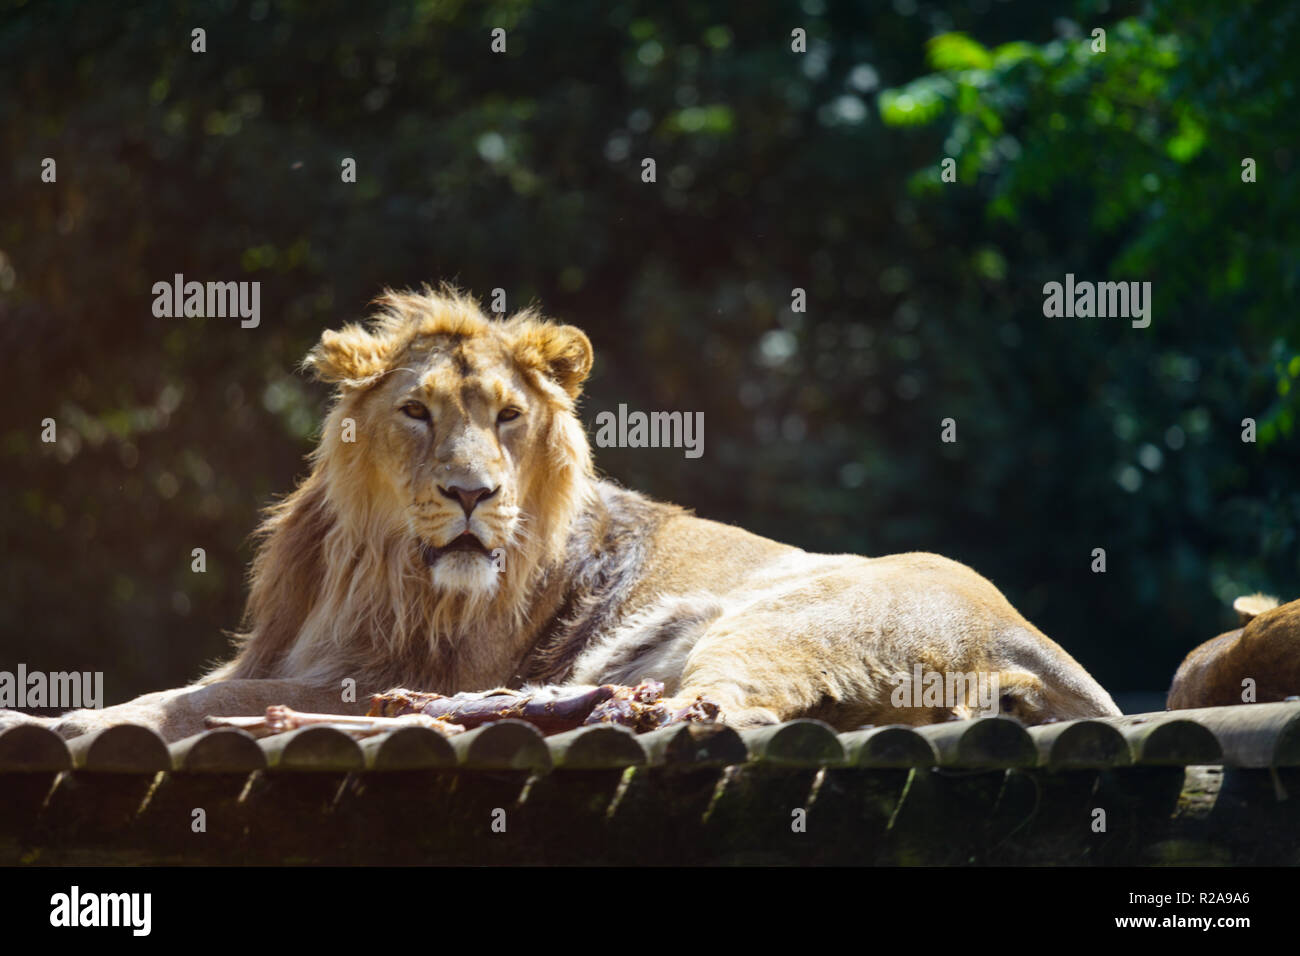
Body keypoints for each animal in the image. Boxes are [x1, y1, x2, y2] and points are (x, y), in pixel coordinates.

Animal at [2, 287, 1120, 742]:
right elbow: (192, 689)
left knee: (709, 712)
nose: (472, 494)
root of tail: (1028, 639)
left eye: (505, 416)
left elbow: (188, 702)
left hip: (785, 621)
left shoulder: (403, 662)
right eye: (417, 412)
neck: (368, 564)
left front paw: (67, 718)